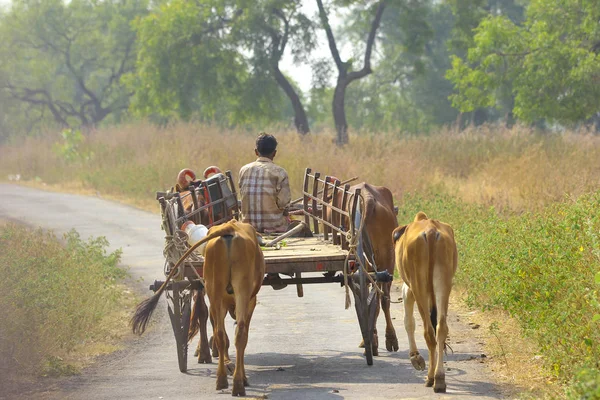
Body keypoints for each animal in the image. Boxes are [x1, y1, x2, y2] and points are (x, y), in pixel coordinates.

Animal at [392, 211, 458, 392]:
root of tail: (430, 231)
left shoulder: (408, 290)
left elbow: (408, 322)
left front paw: (415, 357)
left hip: (418, 286)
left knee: (428, 332)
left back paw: (431, 378)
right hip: (444, 284)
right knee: (441, 328)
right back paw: (440, 378)